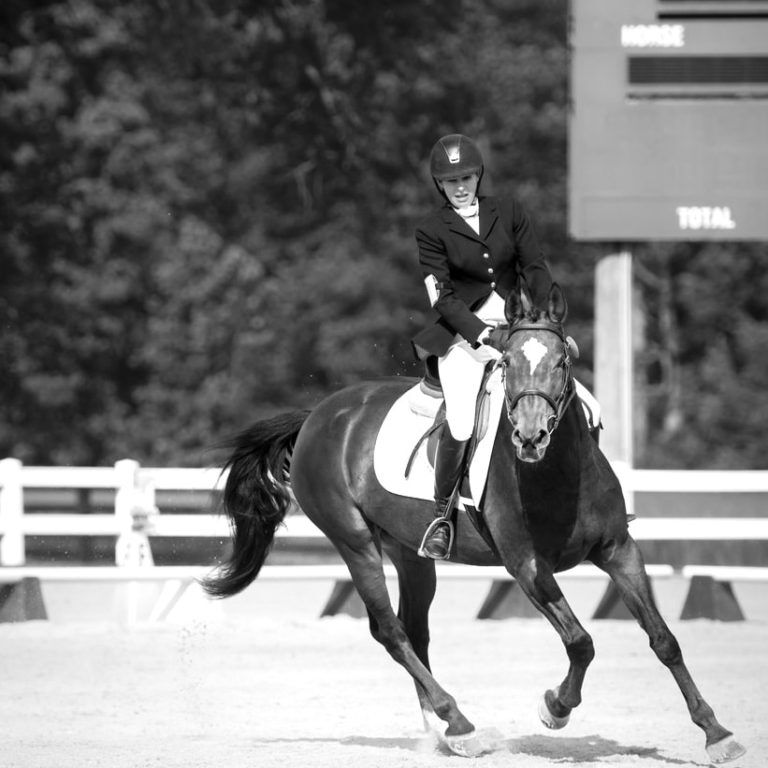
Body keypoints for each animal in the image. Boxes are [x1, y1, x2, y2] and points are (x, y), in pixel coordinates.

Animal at [201, 282, 745, 764]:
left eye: (562, 361)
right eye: (508, 364)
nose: (530, 437)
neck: (557, 470)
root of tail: (320, 414)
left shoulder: (619, 550)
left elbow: (664, 639)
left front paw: (716, 734)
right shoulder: (527, 567)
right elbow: (581, 642)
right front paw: (555, 708)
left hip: (410, 553)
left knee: (415, 630)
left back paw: (443, 731)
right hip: (354, 542)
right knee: (390, 631)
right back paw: (460, 724)